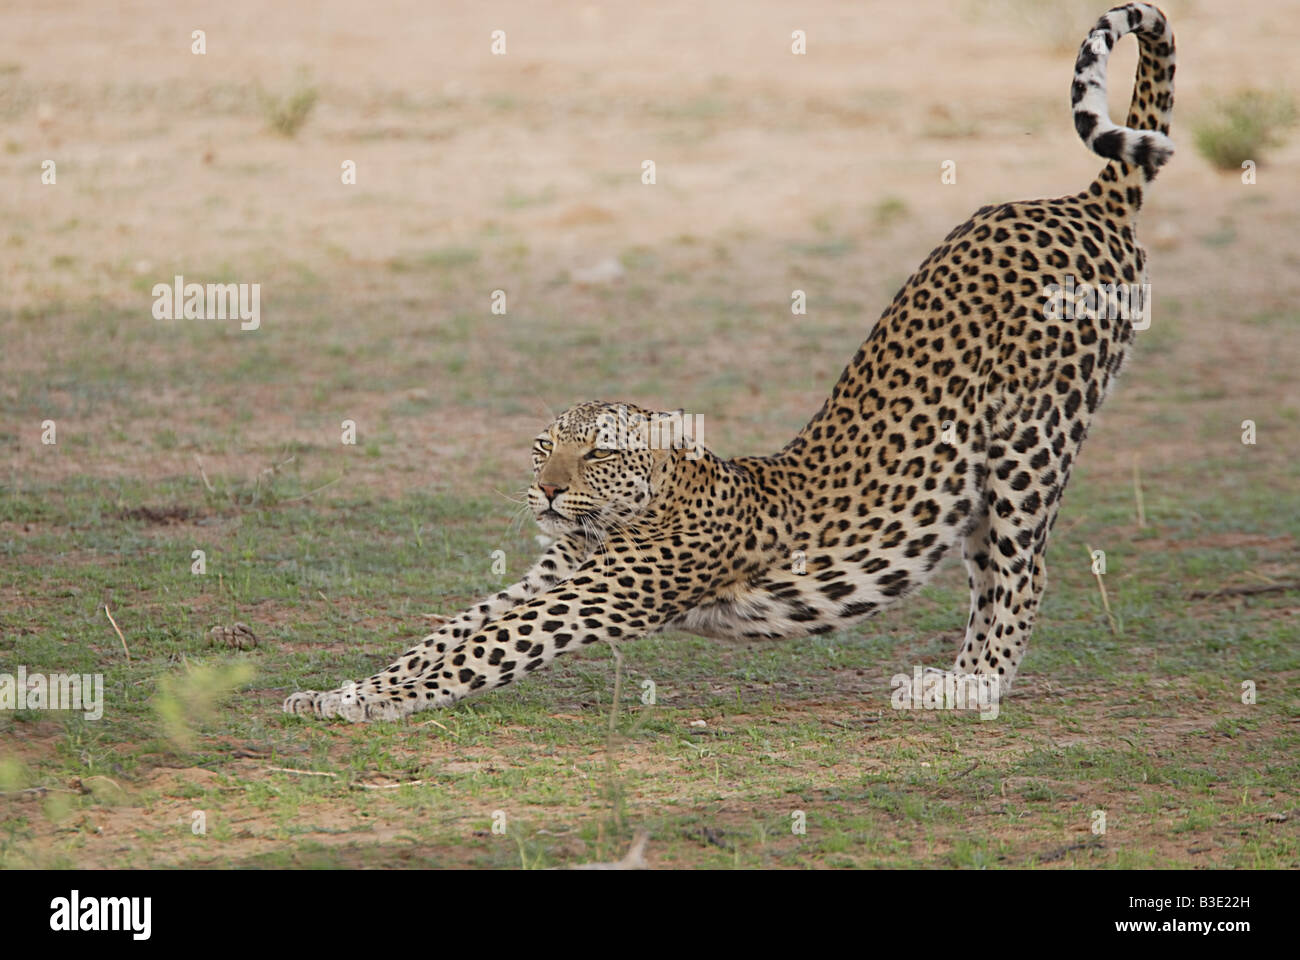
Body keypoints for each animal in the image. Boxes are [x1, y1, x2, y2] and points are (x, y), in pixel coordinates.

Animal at [285, 2, 1175, 722]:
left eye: (596, 452)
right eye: (544, 447)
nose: (547, 490)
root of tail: (1083, 200)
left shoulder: (595, 595)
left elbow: (477, 649)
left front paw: (371, 704)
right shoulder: (551, 576)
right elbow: (447, 631)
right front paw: (339, 691)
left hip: (1029, 446)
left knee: (1019, 574)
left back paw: (968, 687)